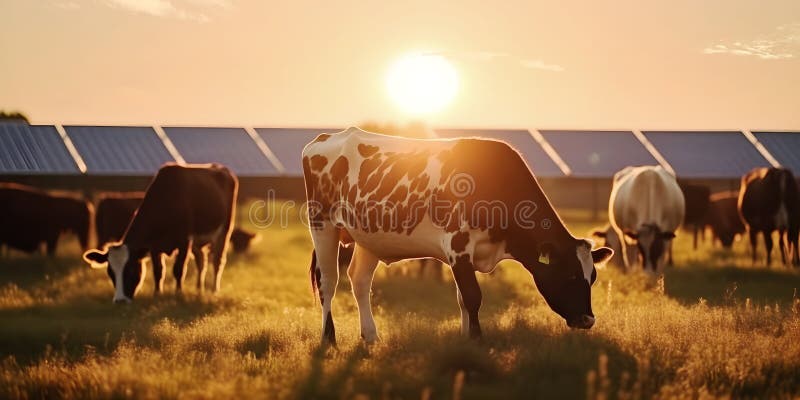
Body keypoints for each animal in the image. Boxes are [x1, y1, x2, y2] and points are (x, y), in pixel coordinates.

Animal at [83, 164, 238, 303]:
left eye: (131, 269)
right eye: (111, 272)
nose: (120, 300)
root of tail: (221, 168)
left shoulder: (184, 241)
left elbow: (178, 269)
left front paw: (178, 293)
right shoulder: (154, 246)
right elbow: (158, 272)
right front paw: (157, 294)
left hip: (224, 231)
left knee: (217, 261)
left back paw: (214, 290)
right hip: (197, 242)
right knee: (201, 261)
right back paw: (199, 289)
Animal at [302, 127, 613, 344]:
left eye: (593, 278)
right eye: (569, 275)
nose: (588, 320)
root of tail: (328, 136)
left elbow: (463, 298)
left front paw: (465, 339)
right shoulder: (458, 247)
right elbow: (473, 296)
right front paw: (477, 339)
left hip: (369, 238)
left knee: (360, 281)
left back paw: (370, 336)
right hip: (322, 224)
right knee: (329, 282)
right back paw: (328, 338)